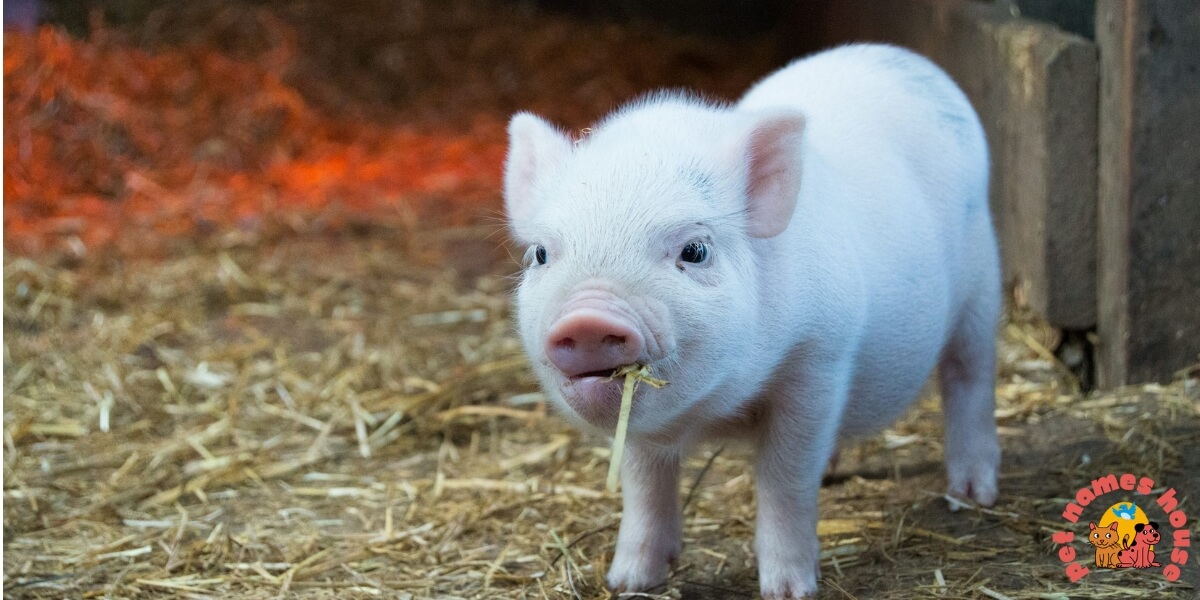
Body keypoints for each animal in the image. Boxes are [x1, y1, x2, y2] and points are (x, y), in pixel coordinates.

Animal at [503, 43, 1001, 598]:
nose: (588, 317)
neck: (717, 412)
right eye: (541, 253)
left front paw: (789, 590)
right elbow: (644, 483)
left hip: (982, 283)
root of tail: (903, 58)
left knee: (969, 377)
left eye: (695, 250)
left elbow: (785, 477)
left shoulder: (819, 360)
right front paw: (629, 581)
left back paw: (974, 493)